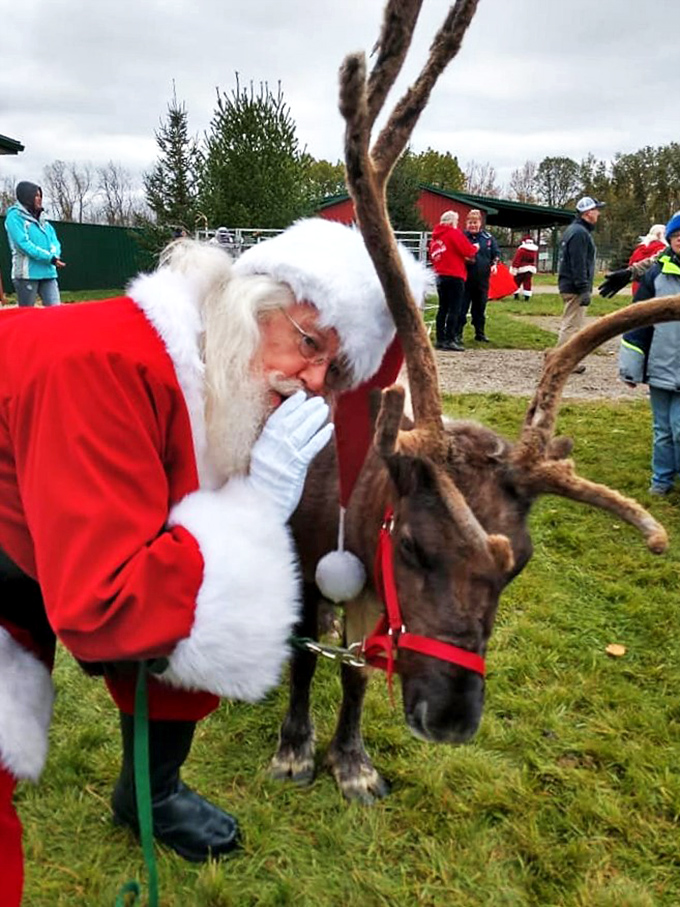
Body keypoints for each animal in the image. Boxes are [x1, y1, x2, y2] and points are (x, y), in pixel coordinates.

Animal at [270, 0, 680, 803]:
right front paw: (297, 749)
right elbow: (306, 658)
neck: (358, 502)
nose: (453, 720)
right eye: (413, 546)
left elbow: (358, 673)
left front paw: (353, 760)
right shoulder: (309, 557)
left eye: (519, 563)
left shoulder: (371, 597)